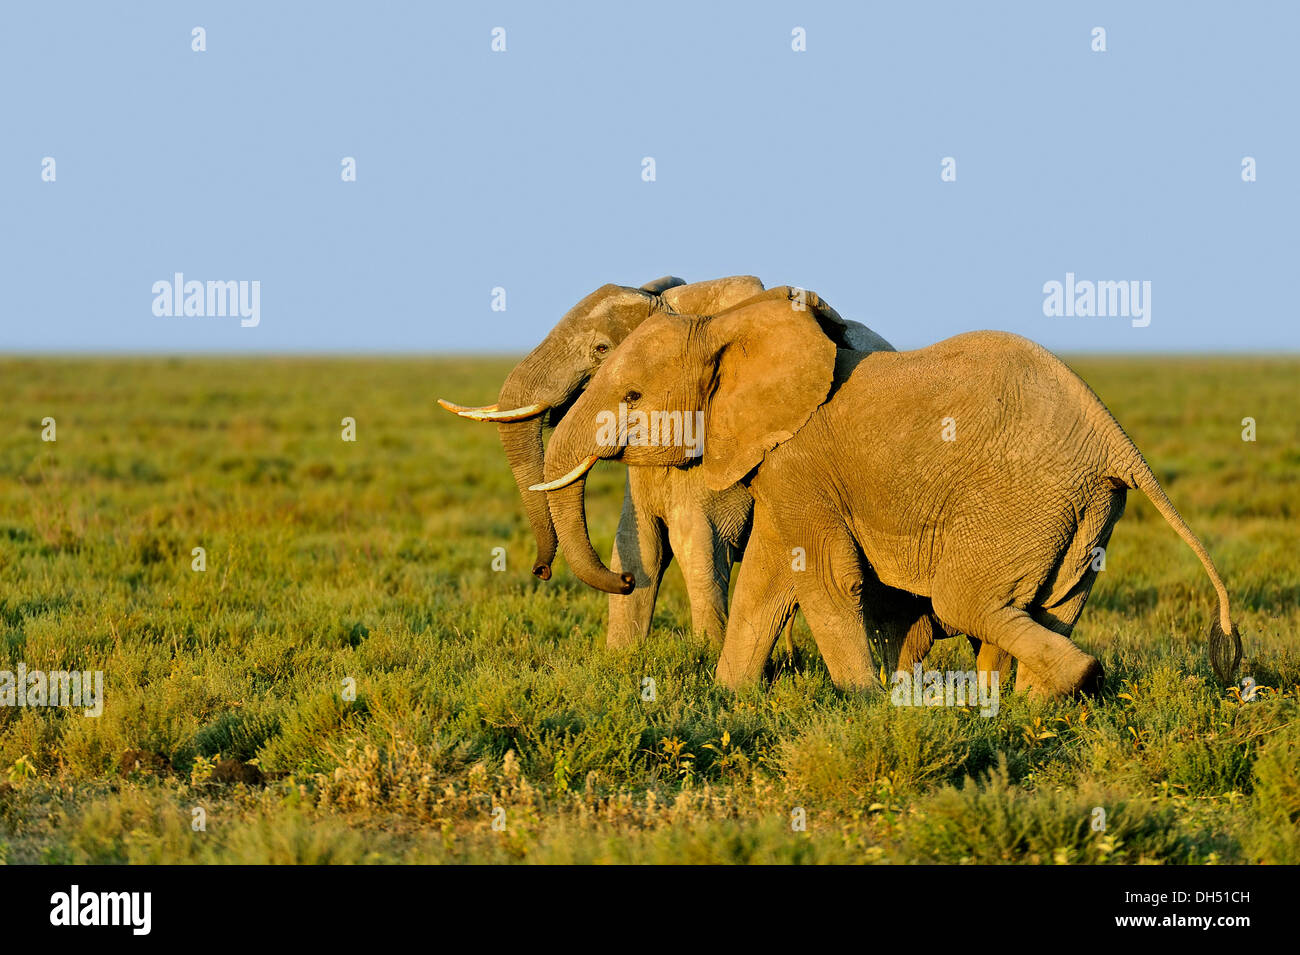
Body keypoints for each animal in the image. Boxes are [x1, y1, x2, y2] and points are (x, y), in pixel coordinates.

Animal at [438, 276, 913, 654]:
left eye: (601, 349)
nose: (541, 571)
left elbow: (697, 545)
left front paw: (705, 657)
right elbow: (636, 543)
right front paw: (621, 657)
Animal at [530, 286, 1243, 697]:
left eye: (631, 395)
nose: (626, 580)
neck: (723, 326)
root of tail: (1113, 437)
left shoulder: (799, 458)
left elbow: (820, 575)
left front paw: (862, 704)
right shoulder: (782, 466)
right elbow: (769, 573)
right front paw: (731, 701)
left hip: (1021, 502)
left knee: (965, 601)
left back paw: (1072, 681)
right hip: (1084, 513)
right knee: (1047, 607)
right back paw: (1026, 710)